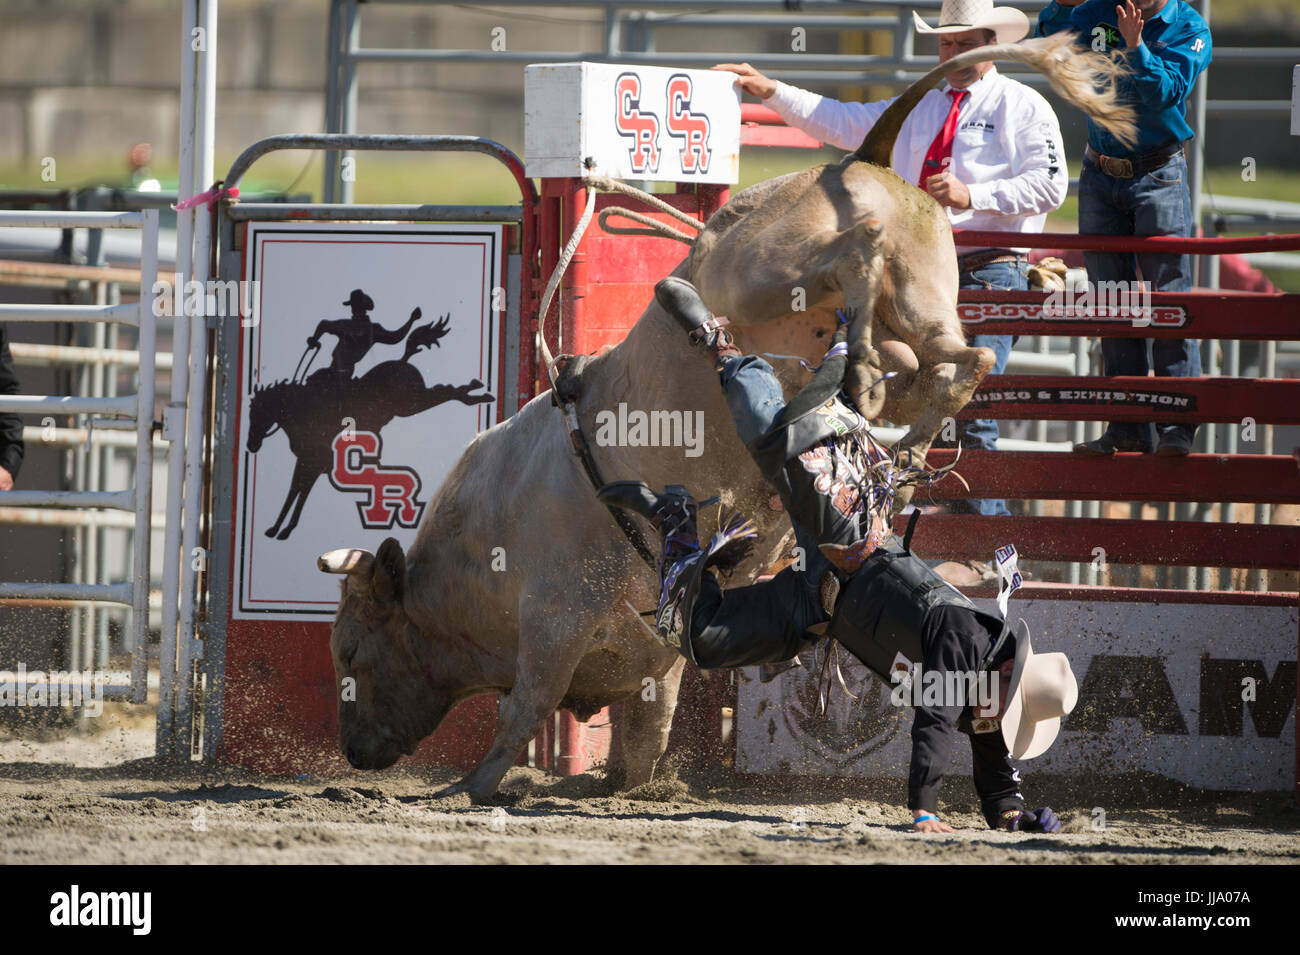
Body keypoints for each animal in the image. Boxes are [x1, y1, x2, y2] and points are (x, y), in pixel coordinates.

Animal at [318, 35, 1134, 802]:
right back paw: (888, 419)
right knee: (958, 359)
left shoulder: (556, 611)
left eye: (350, 652)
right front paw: (628, 784)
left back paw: (854, 378)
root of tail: (862, 158)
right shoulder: (653, 653)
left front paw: (472, 785)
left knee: (859, 256)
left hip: (764, 277)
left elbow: (527, 704)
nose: (353, 750)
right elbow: (647, 728)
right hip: (925, 292)